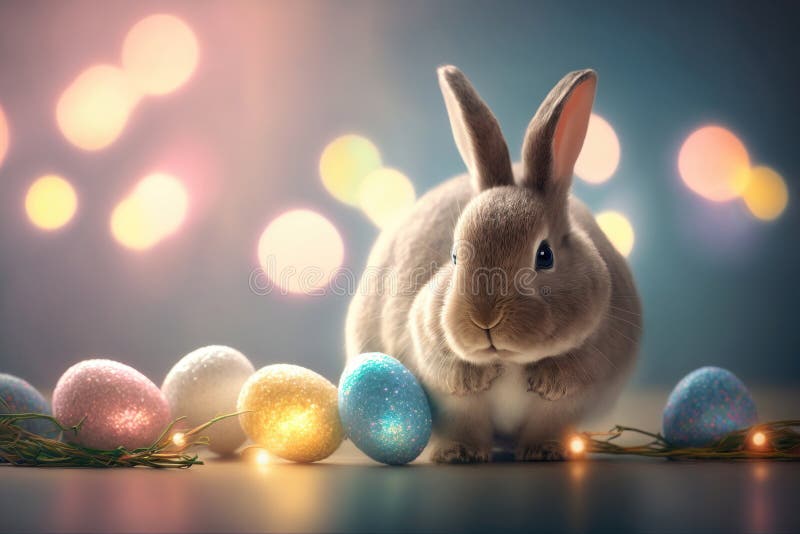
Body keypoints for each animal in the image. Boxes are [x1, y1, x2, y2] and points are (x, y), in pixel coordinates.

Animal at [345, 65, 641, 463]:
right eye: (454, 257)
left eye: (544, 255)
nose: (484, 319)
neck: (512, 359)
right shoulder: (429, 348)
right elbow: (448, 372)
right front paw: (478, 380)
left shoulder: (599, 353)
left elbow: (574, 374)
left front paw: (545, 383)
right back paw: (458, 453)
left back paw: (545, 451)